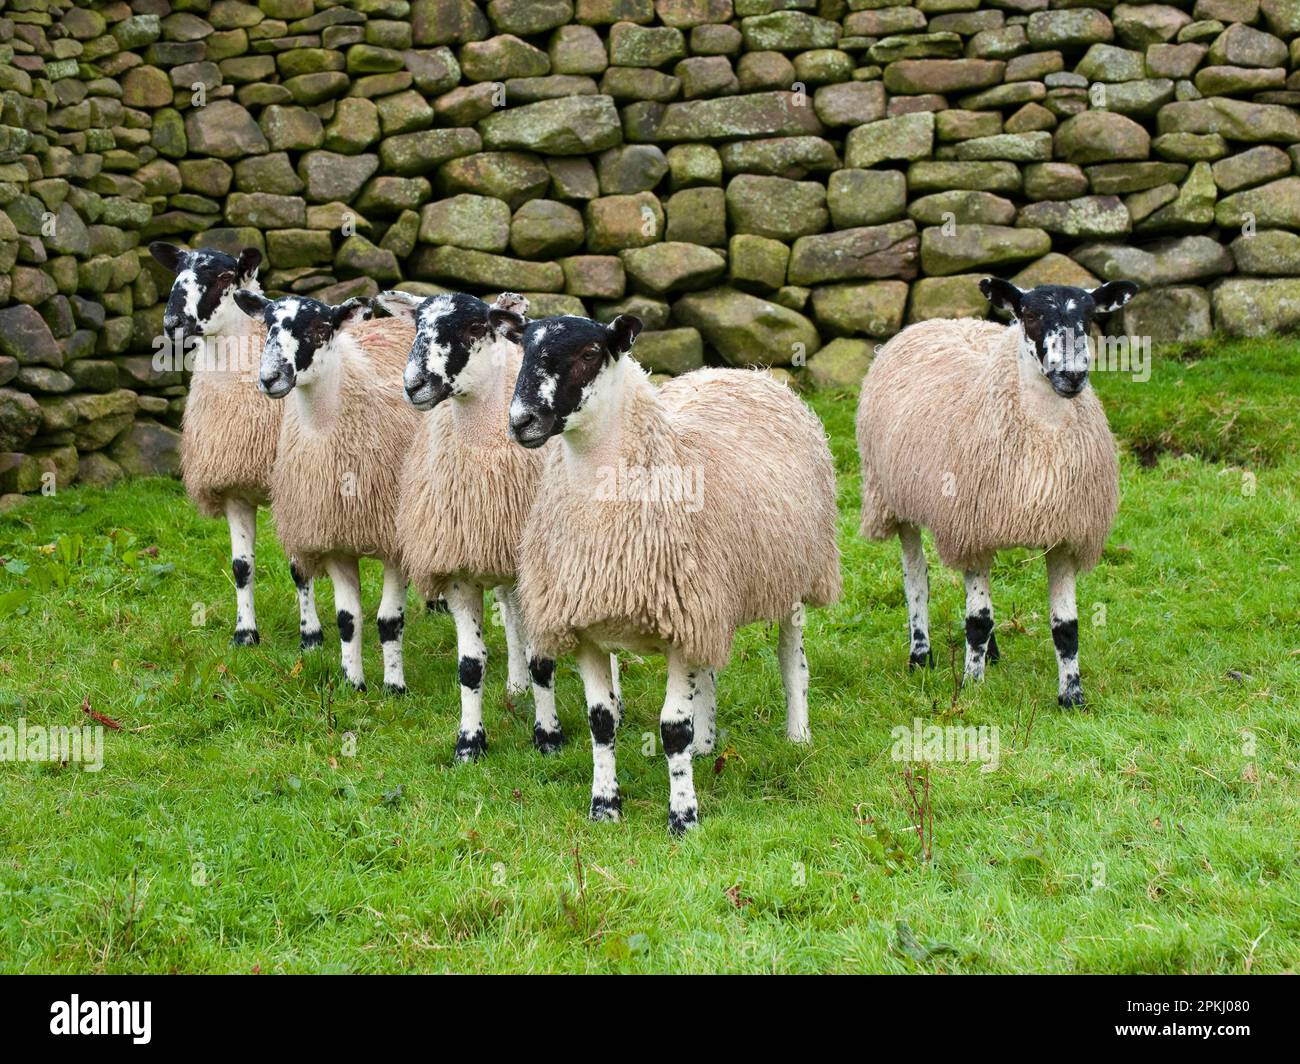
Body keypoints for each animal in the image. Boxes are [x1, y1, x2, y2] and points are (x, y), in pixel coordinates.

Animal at [149, 241, 323, 649]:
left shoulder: (292, 490)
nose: (172, 323)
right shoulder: (233, 489)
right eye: (176, 271)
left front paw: (311, 637)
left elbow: (299, 568)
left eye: (225, 276)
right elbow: (242, 567)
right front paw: (245, 634)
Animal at [233, 289, 418, 693]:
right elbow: (348, 618)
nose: (270, 378)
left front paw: (395, 687)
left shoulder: (394, 540)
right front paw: (353, 683)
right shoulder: (333, 537)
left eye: (320, 328)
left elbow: (389, 621)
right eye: (267, 324)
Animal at [379, 289, 620, 762]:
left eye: (475, 327)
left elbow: (543, 661)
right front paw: (469, 742)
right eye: (416, 324)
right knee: (511, 621)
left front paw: (549, 736)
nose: (413, 385)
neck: (484, 457)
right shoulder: (459, 569)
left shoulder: (539, 575)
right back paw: (515, 685)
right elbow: (471, 665)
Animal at [494, 309, 841, 834]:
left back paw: (797, 734)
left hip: (796, 573)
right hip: (713, 600)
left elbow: (672, 728)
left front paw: (683, 816)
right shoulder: (589, 626)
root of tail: (745, 372)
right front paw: (604, 806)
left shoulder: (682, 624)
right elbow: (601, 722)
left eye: (590, 352)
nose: (522, 421)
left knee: (791, 661)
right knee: (709, 668)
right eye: (525, 348)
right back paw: (706, 744)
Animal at [856, 278, 1137, 707]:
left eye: (1089, 317)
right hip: (894, 498)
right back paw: (921, 655)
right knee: (916, 577)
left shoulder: (1064, 533)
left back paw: (991, 653)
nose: (1073, 375)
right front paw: (972, 689)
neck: (1044, 436)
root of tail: (946, 320)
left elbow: (1066, 626)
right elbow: (977, 619)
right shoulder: (971, 526)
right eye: (1031, 315)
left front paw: (1072, 696)